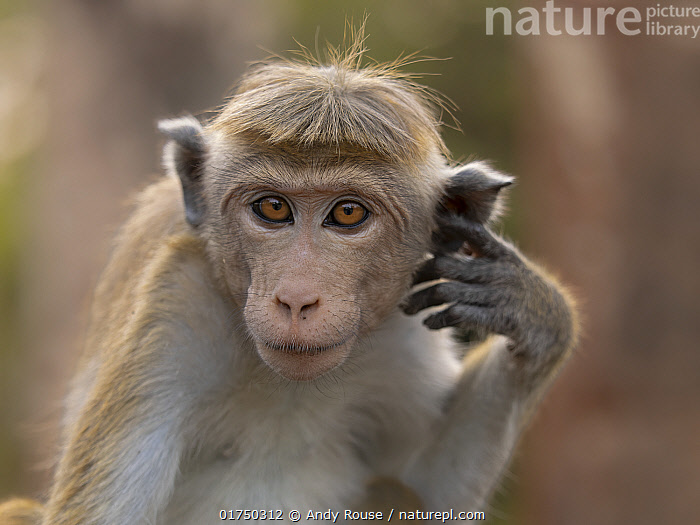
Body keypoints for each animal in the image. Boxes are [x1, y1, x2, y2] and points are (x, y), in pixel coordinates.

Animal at [0, 38, 577, 525]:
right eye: (273, 208)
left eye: (348, 213)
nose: (297, 299)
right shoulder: (178, 301)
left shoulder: (403, 333)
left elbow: (433, 488)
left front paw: (534, 312)